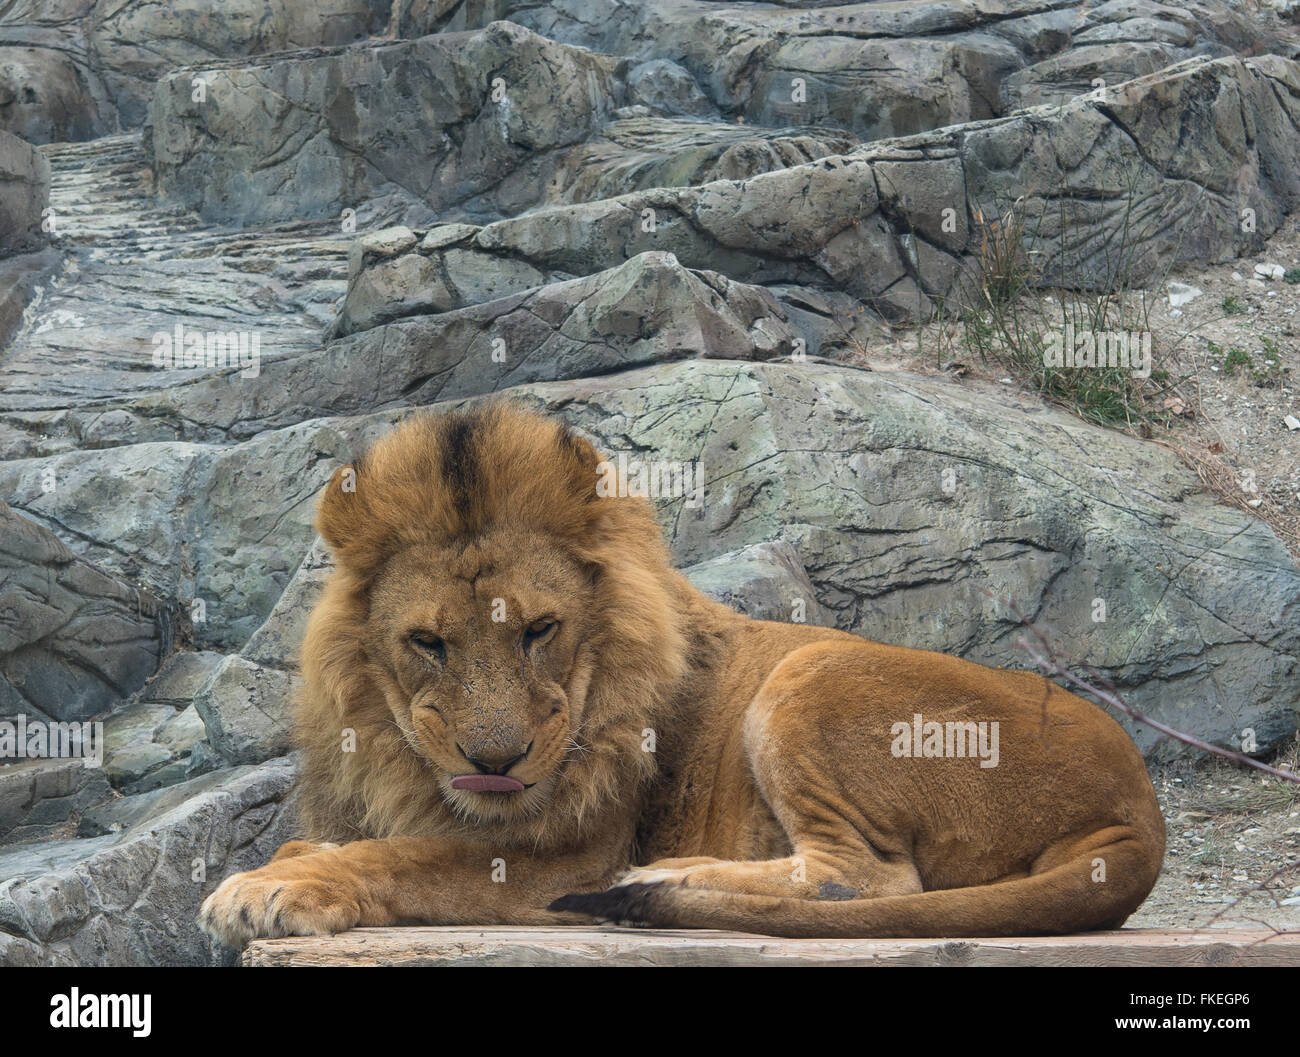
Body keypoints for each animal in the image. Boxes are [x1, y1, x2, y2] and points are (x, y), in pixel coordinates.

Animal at [199, 403, 1165, 946]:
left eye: (541, 629)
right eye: (429, 641)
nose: (497, 760)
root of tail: (1138, 810)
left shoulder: (567, 854)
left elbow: (406, 856)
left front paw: (276, 887)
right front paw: (295, 861)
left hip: (808, 669)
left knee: (864, 878)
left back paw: (662, 882)